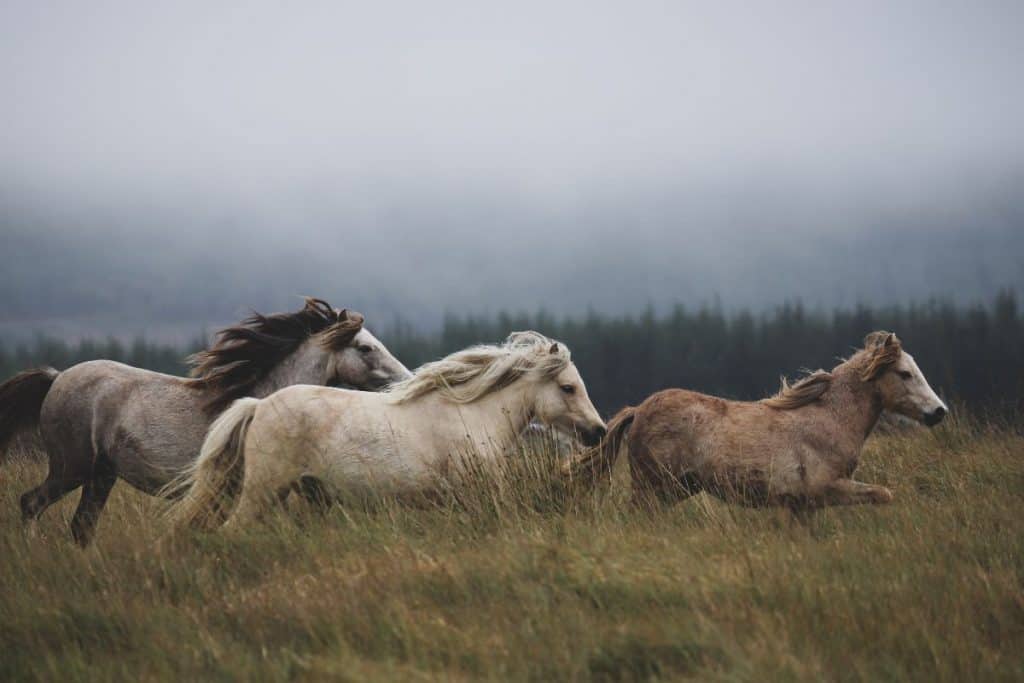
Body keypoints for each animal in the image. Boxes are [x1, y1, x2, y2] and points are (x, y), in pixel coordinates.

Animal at [0, 298, 411, 545]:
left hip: (102, 474)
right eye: (365, 348)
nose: (405, 380)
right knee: (32, 503)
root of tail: (57, 378)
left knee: (82, 525)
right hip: (72, 466)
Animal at [564, 331, 947, 509]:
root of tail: (639, 409)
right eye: (904, 373)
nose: (938, 411)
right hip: (654, 487)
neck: (830, 420)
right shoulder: (825, 489)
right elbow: (884, 494)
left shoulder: (800, 507)